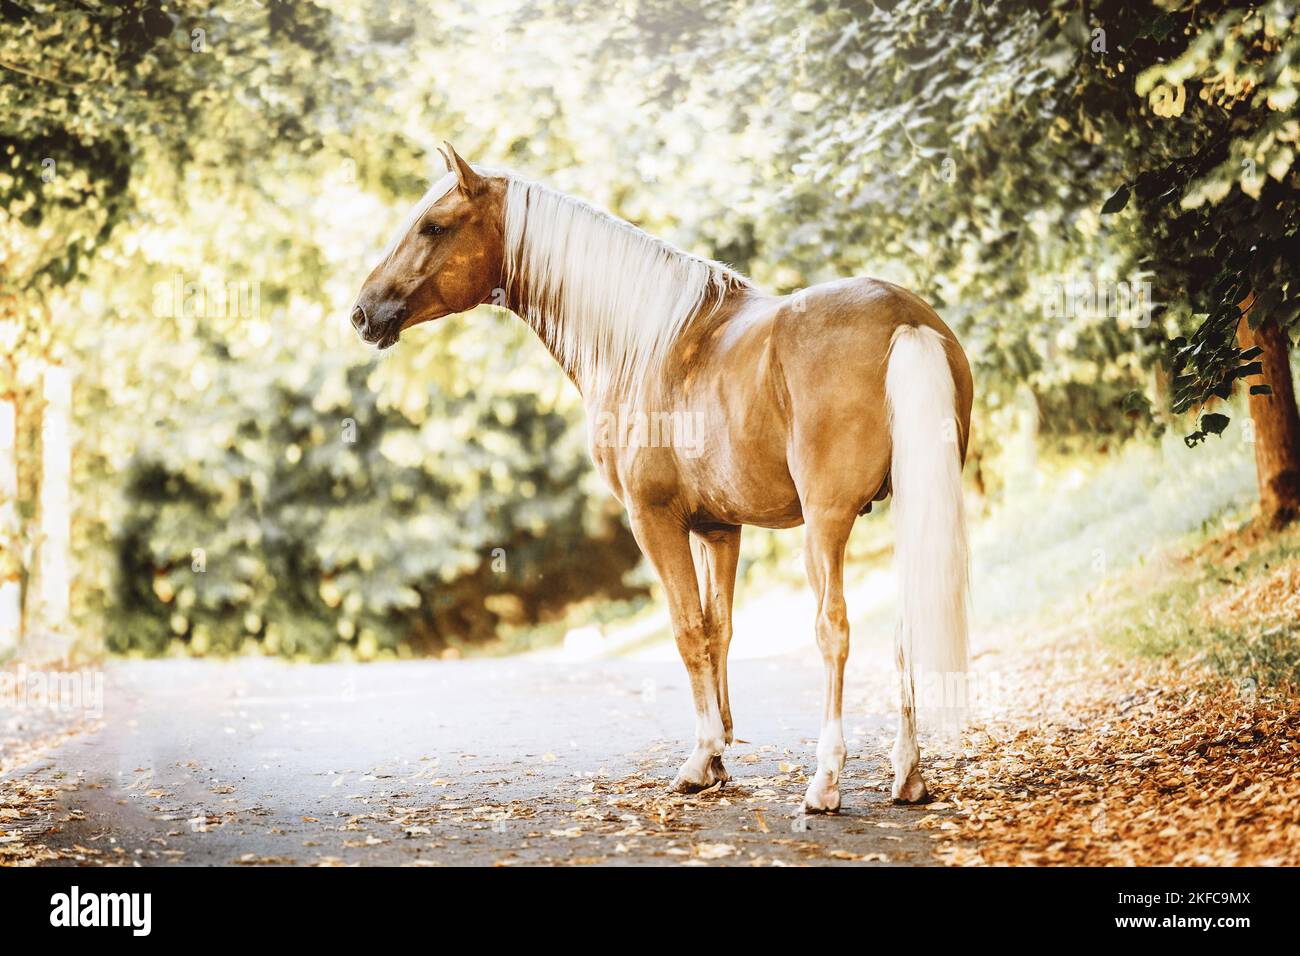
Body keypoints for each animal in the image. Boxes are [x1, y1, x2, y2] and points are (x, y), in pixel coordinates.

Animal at [351, 143, 973, 812]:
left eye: (433, 226)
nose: (362, 313)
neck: (651, 346)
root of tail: (903, 317)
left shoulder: (653, 521)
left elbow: (686, 630)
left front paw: (700, 760)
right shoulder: (719, 528)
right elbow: (719, 630)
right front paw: (721, 755)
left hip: (826, 523)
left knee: (833, 627)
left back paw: (825, 780)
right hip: (905, 510)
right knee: (906, 631)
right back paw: (908, 775)